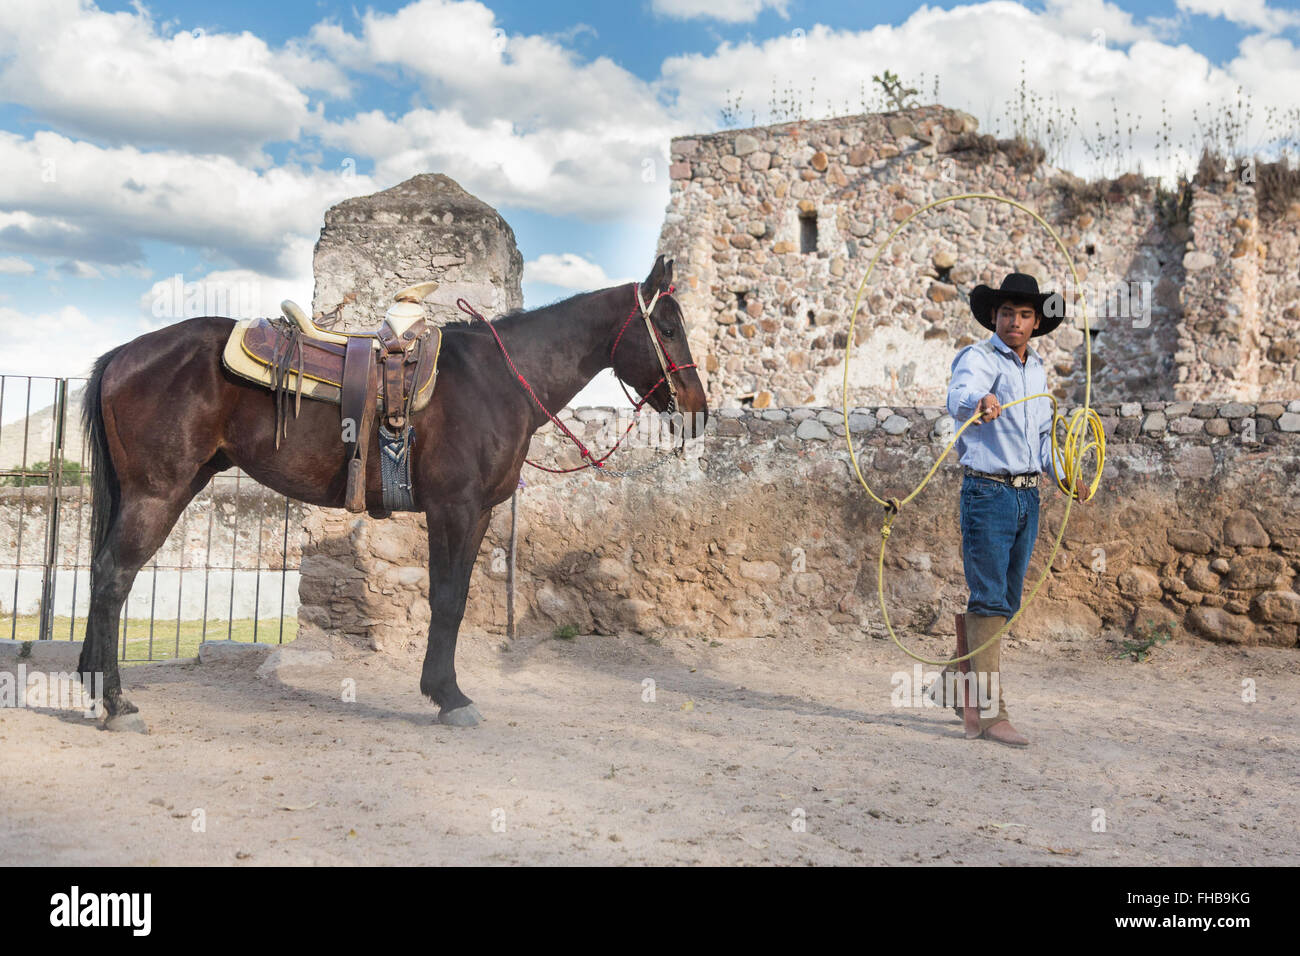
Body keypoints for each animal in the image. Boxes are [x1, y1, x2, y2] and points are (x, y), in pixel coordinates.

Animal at [77, 255, 708, 731]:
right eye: (668, 328)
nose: (698, 409)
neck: (497, 380)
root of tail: (122, 355)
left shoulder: (477, 515)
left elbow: (454, 598)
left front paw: (444, 690)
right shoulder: (454, 509)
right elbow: (447, 600)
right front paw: (449, 697)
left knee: (102, 573)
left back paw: (91, 683)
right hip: (156, 494)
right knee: (112, 578)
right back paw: (116, 704)